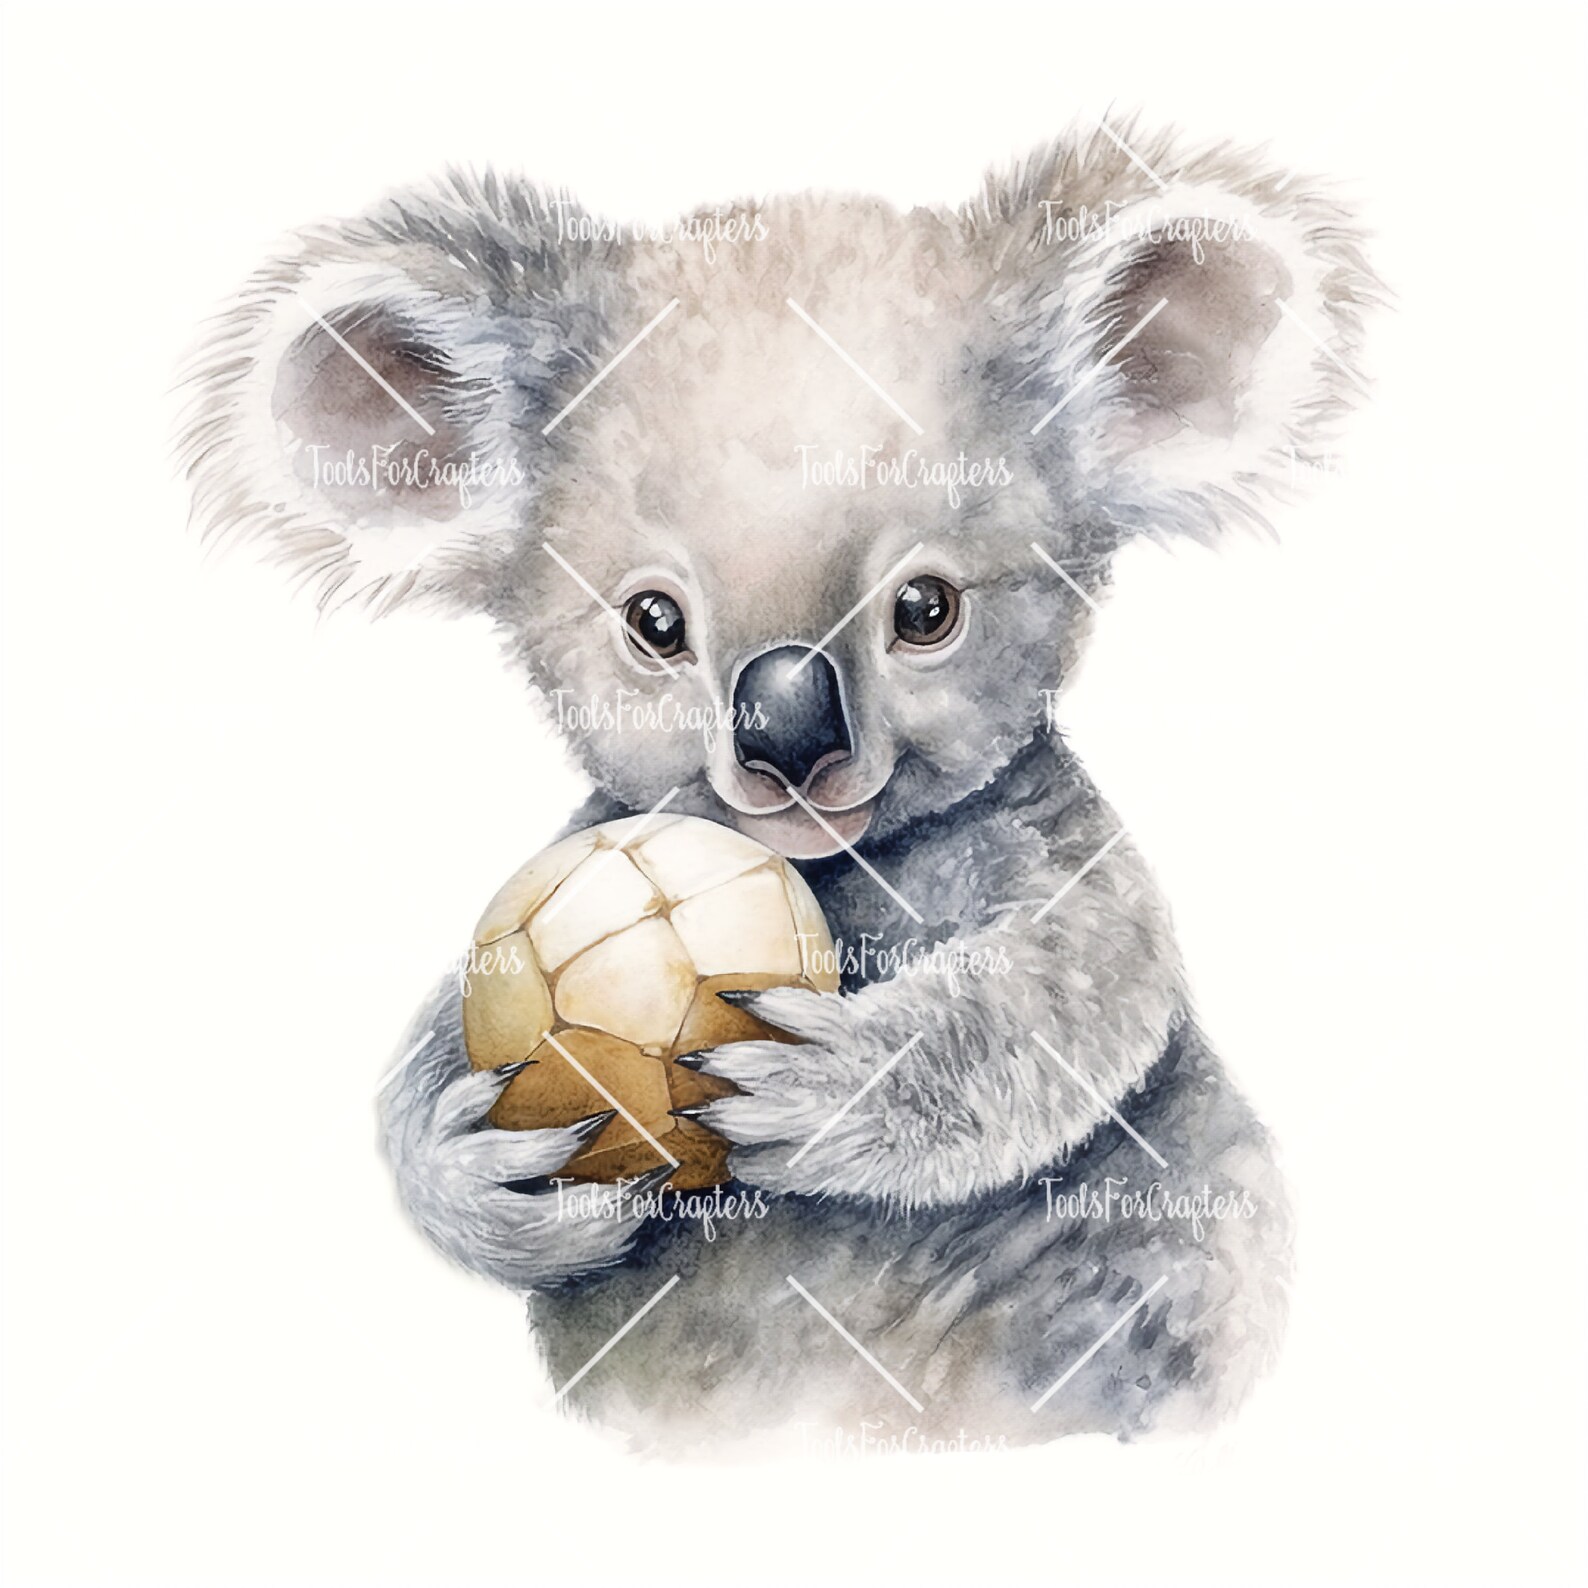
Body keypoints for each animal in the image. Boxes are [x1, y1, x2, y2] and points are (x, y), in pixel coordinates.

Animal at [178, 121, 1375, 1451]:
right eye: (653, 623)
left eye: (926, 609)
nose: (786, 737)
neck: (836, 869)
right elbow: (444, 1037)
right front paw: (473, 1163)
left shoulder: (1068, 859)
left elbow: (1067, 1005)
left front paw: (816, 1083)